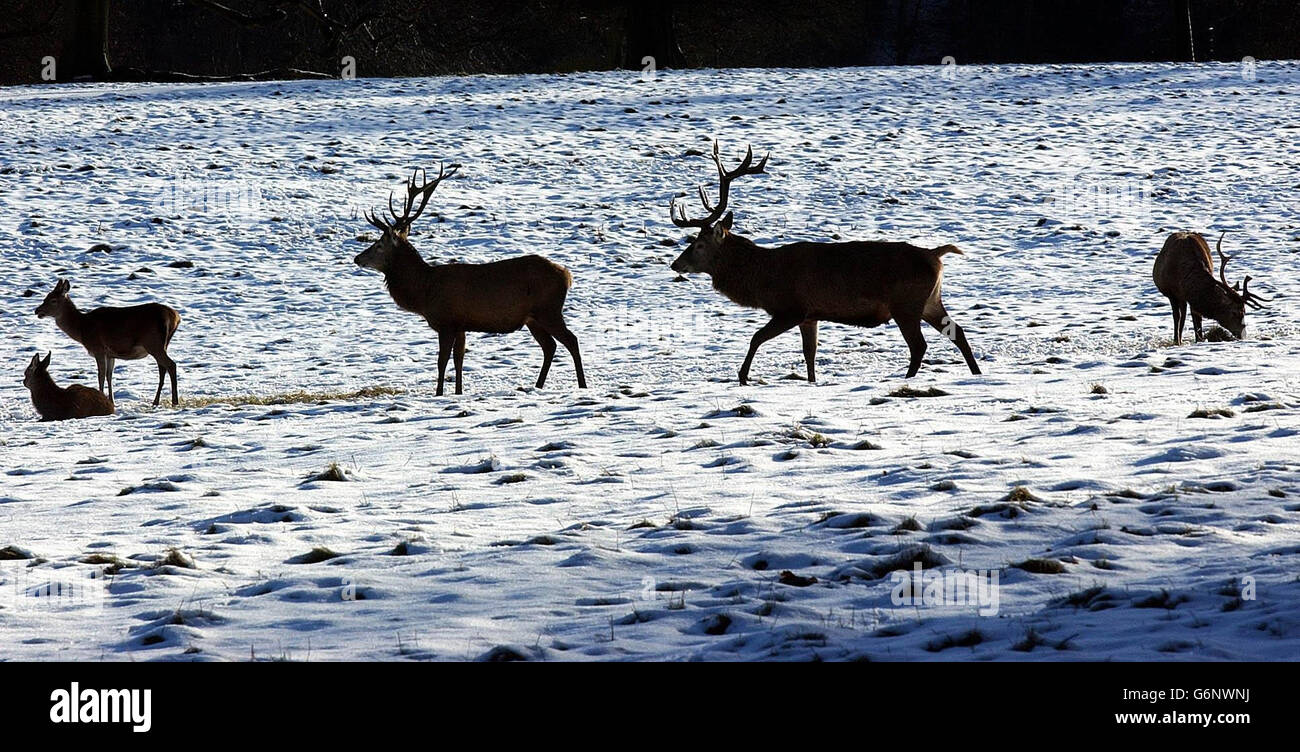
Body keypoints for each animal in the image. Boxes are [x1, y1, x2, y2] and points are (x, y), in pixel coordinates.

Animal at [35, 279, 182, 406]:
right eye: (45, 297)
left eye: (53, 300)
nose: (37, 310)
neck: (82, 329)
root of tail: (175, 317)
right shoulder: (110, 354)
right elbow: (109, 376)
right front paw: (111, 401)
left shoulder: (98, 348)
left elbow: (100, 376)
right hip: (162, 344)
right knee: (163, 368)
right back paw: (156, 401)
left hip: (153, 343)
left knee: (171, 365)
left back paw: (174, 401)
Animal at [354, 164, 587, 396]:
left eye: (378, 245)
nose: (357, 258)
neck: (425, 290)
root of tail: (566, 275)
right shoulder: (461, 324)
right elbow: (459, 359)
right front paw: (458, 392)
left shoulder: (446, 322)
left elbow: (442, 361)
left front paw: (439, 393)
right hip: (533, 318)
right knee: (550, 346)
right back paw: (538, 385)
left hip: (549, 309)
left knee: (571, 340)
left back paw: (582, 384)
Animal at [668, 141, 981, 384]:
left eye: (698, 244)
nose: (676, 265)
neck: (762, 278)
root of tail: (935, 255)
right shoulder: (811, 315)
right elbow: (810, 353)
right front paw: (812, 382)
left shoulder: (791, 308)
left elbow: (756, 337)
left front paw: (743, 377)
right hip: (930, 301)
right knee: (958, 332)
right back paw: (977, 374)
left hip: (906, 304)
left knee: (919, 346)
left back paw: (909, 378)